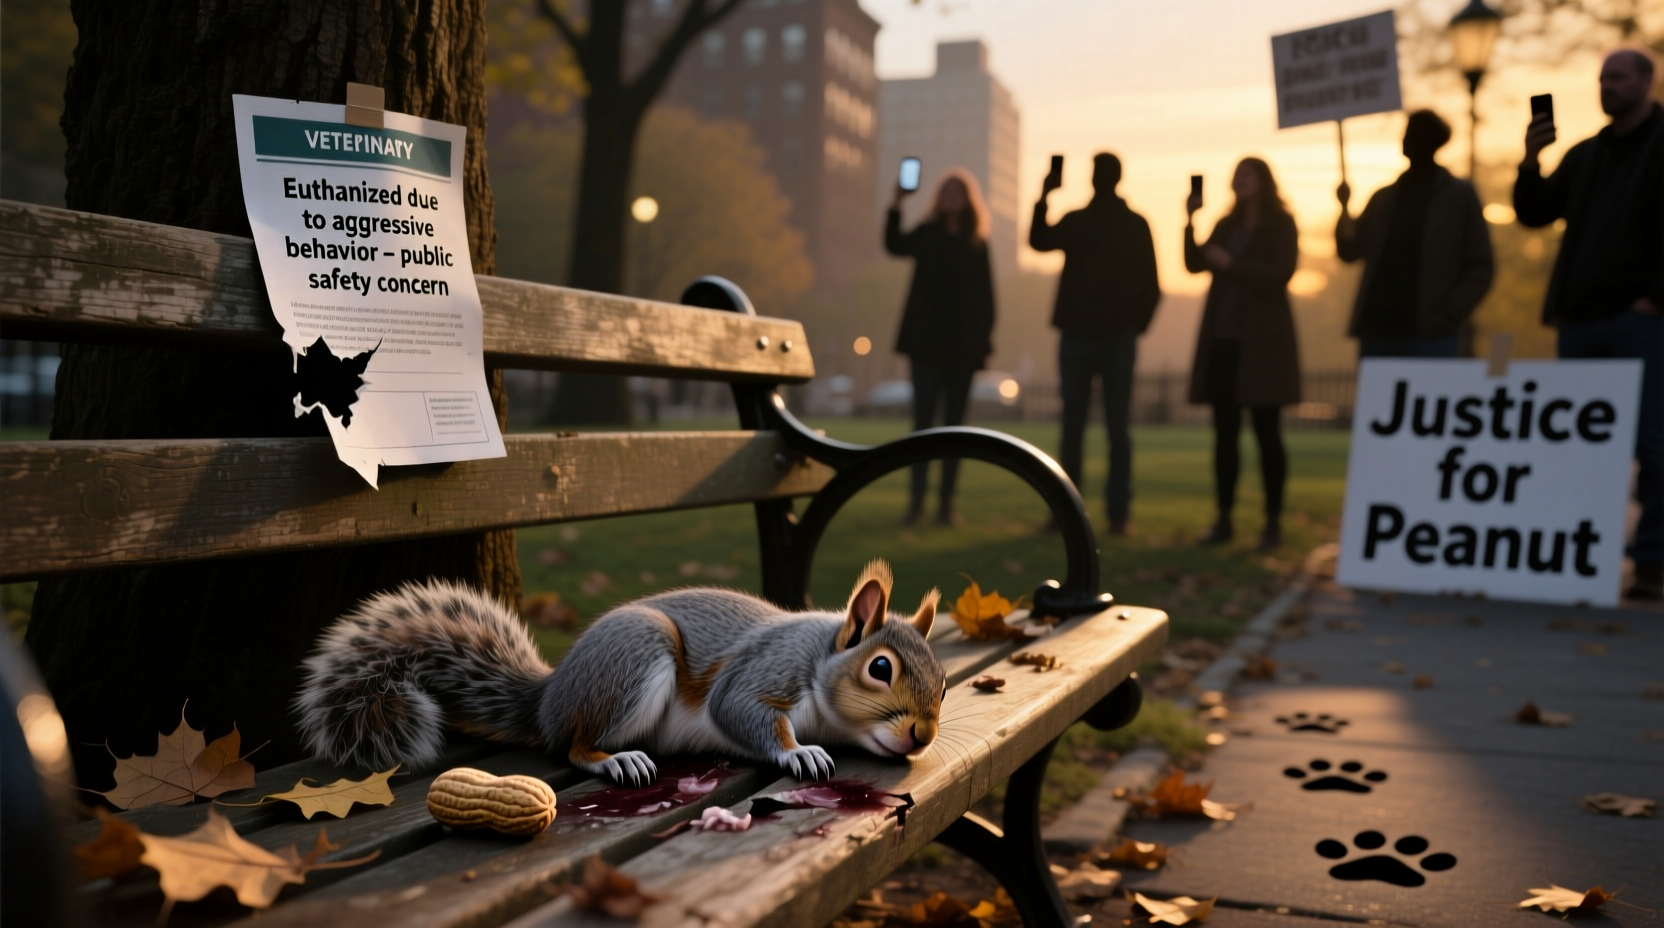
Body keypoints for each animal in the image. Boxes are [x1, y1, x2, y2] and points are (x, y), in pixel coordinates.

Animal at [294, 560, 946, 786]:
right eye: (879, 668)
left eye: (942, 680)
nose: (923, 734)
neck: (818, 655)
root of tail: (550, 698)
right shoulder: (768, 669)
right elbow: (739, 709)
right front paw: (798, 752)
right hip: (634, 662)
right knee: (573, 745)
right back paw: (616, 760)